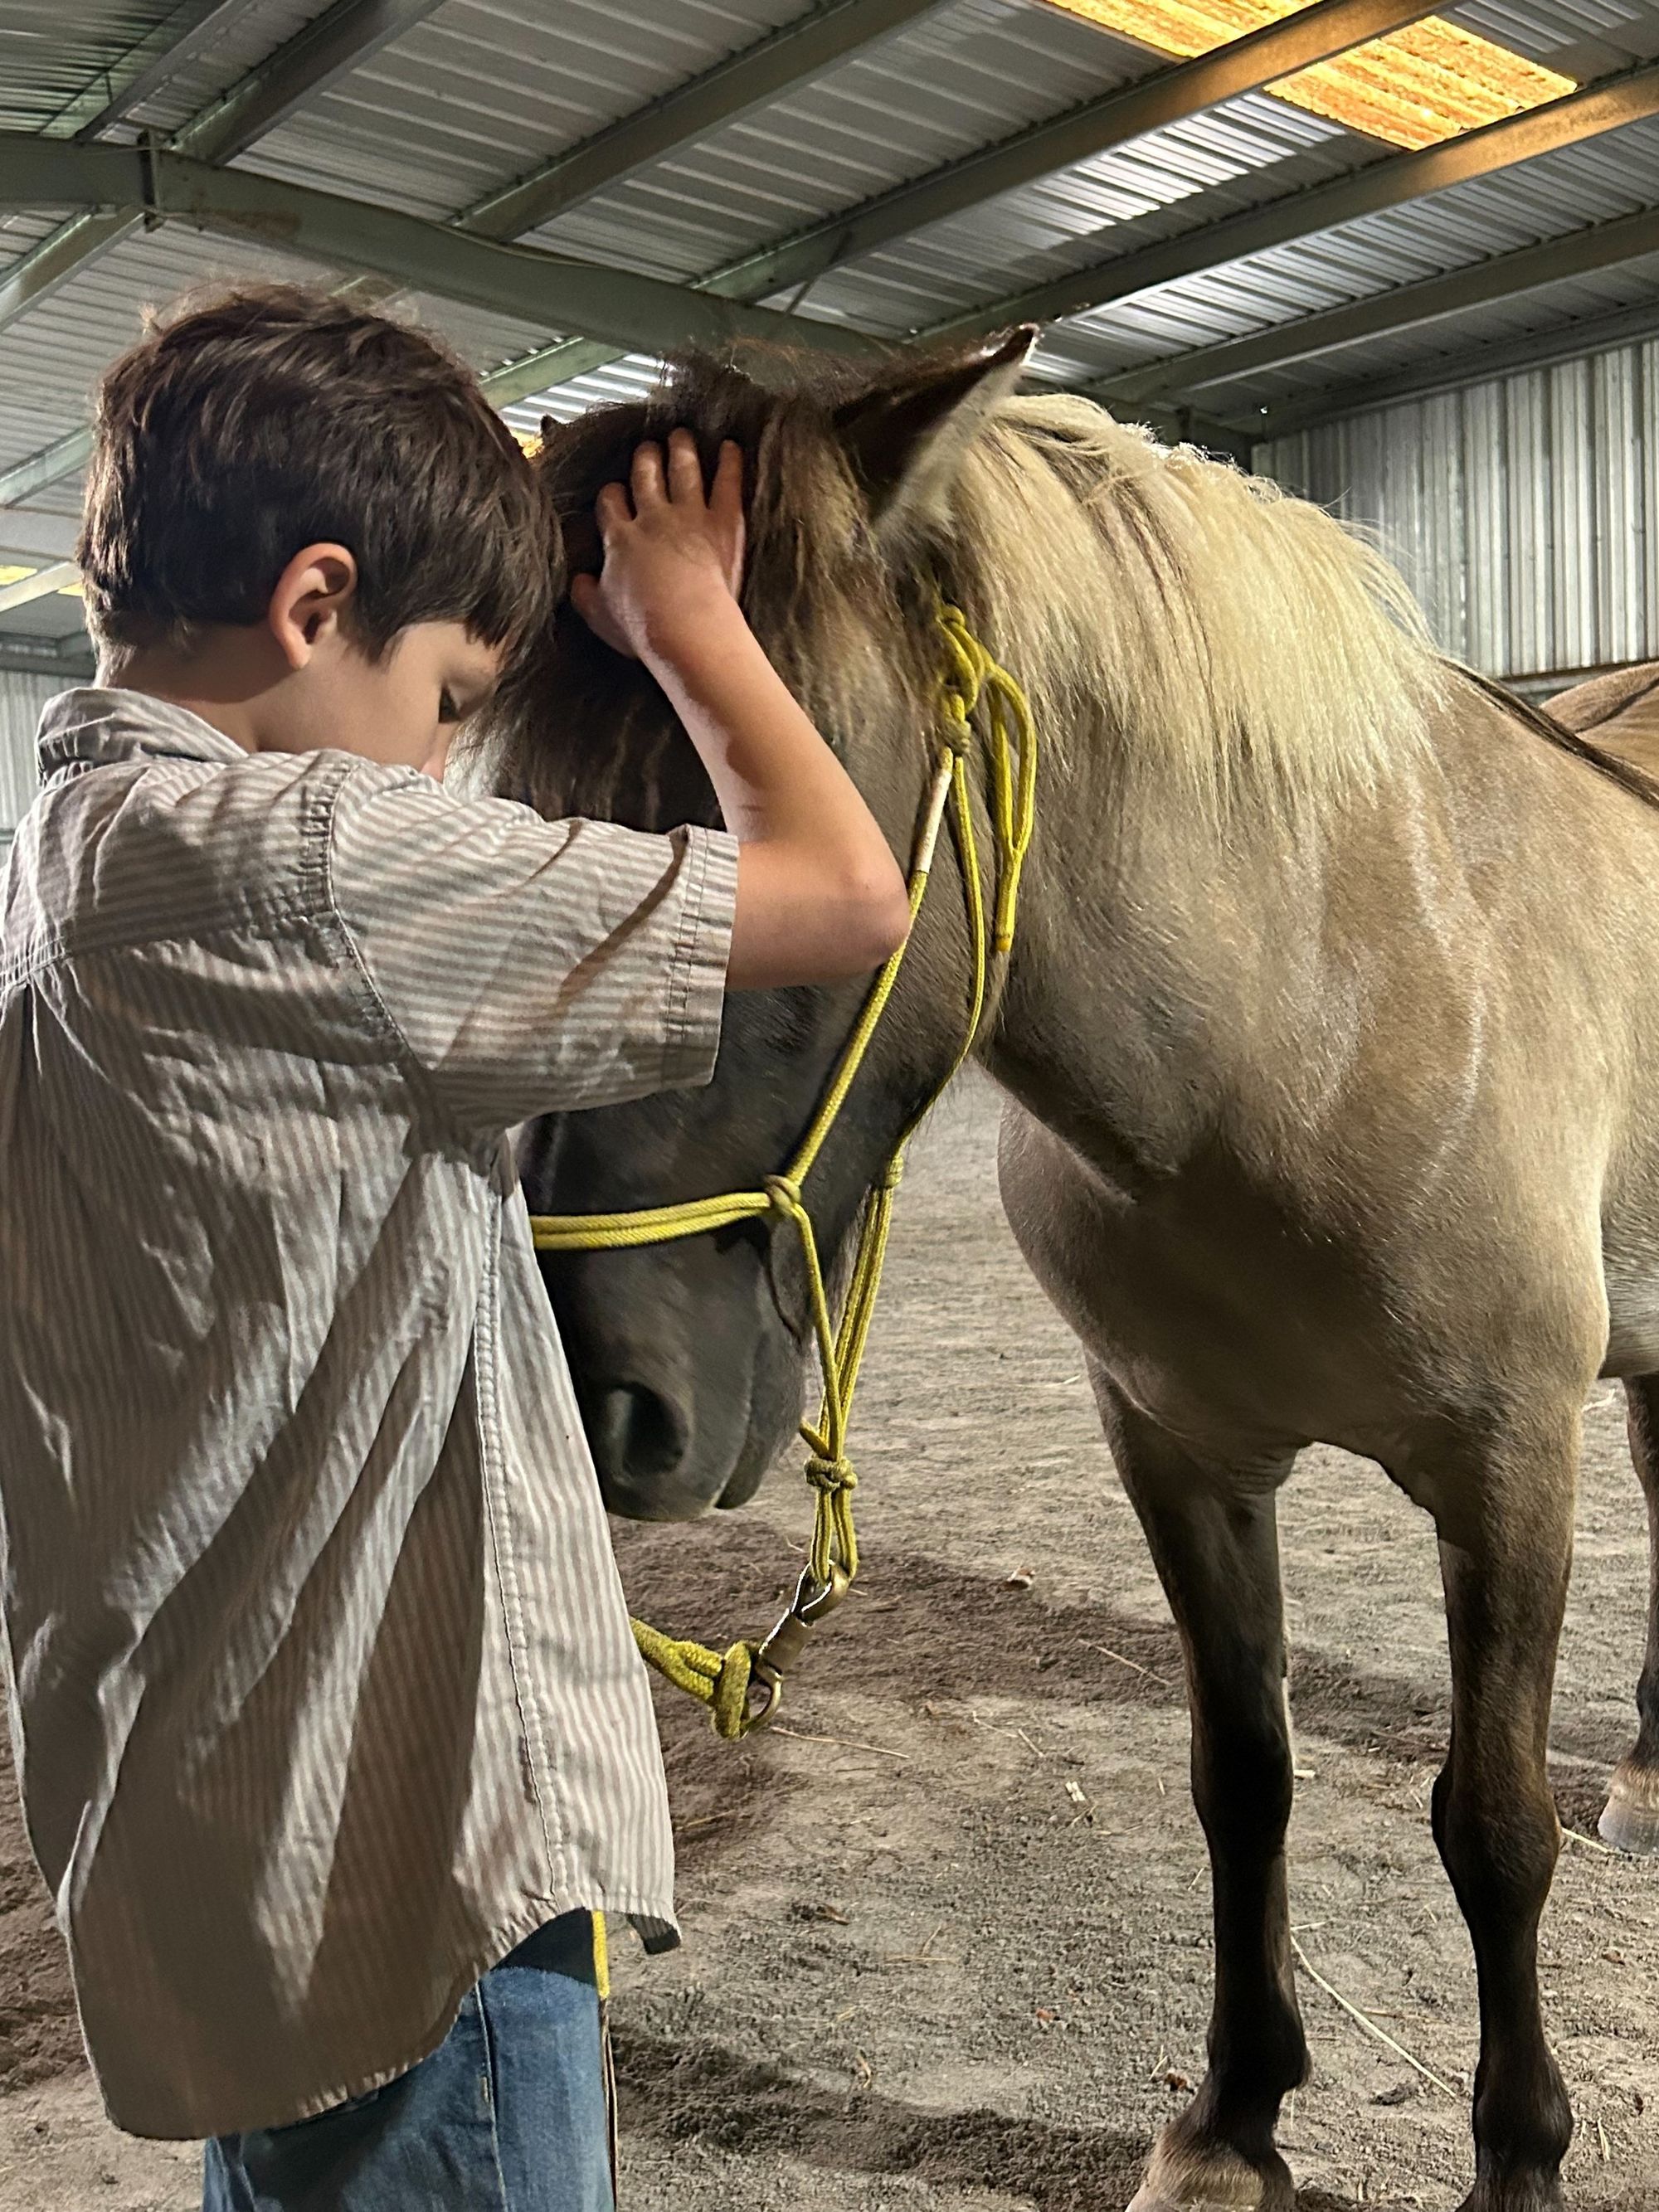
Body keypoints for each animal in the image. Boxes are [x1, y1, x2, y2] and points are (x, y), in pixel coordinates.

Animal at [493, 329, 1659, 2212]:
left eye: (780, 808)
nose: (607, 1398)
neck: (1312, 1005)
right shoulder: (1176, 1449)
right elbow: (1240, 1777)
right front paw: (1232, 2119)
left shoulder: (1508, 1461)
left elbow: (1492, 1822)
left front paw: (1521, 2156)